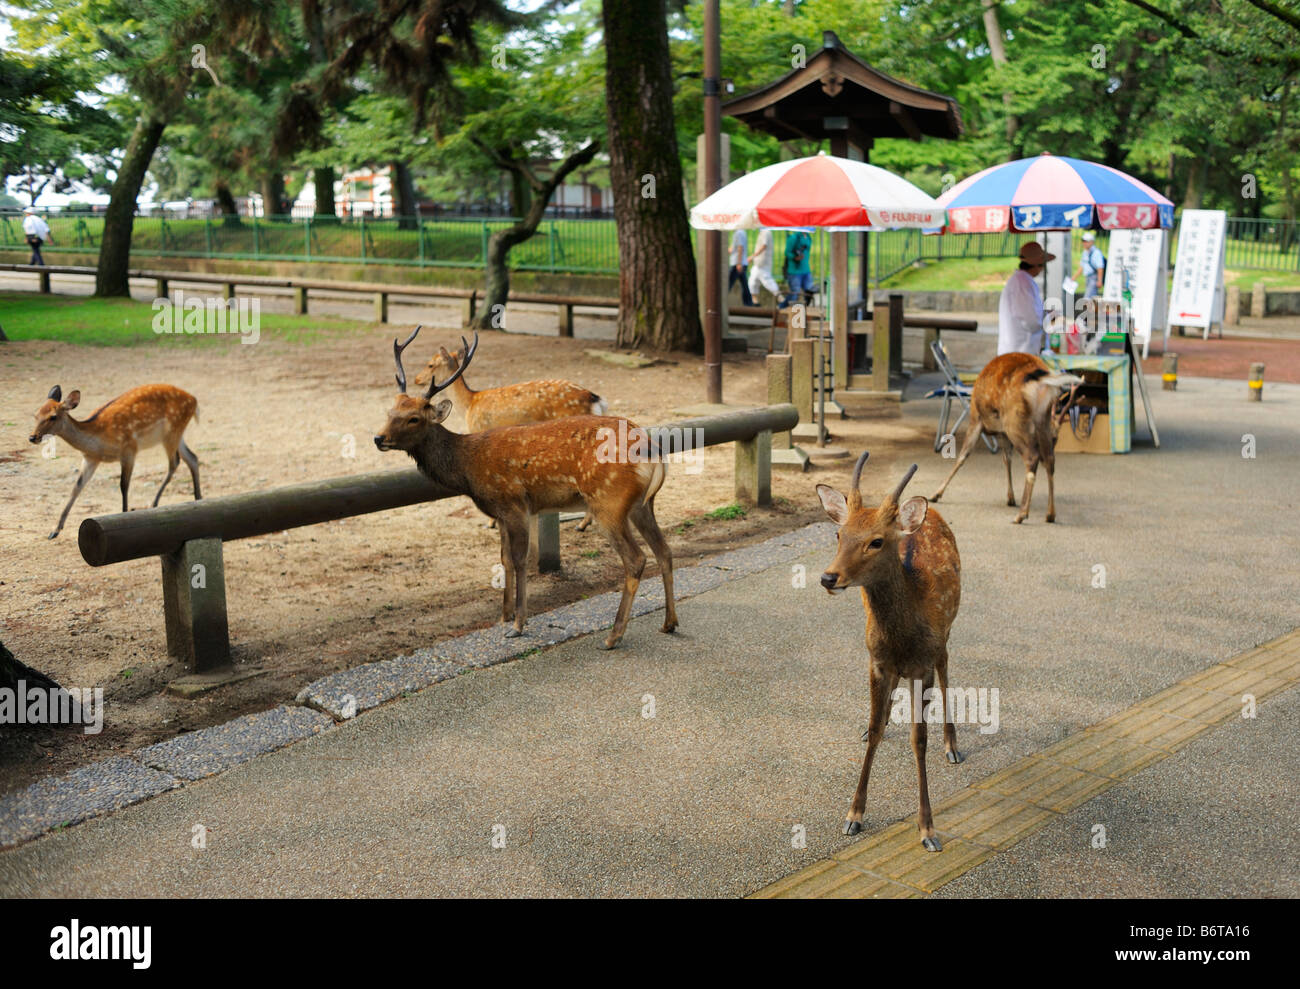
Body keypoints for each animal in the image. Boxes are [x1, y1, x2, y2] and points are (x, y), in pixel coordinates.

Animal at [29, 383, 202, 540]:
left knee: (175, 462)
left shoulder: (129, 449)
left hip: (172, 431)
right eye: (35, 414)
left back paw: (155, 503)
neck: (98, 441)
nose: (32, 437)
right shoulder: (90, 458)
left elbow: (123, 485)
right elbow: (76, 487)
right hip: (176, 434)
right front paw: (54, 530)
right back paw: (197, 499)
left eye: (53, 416)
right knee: (192, 458)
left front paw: (124, 516)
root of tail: (194, 401)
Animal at [414, 342, 606, 532]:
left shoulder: (480, 431)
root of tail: (595, 399)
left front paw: (491, 522)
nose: (416, 379)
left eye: (430, 364)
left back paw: (582, 524)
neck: (469, 405)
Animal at [817, 452, 962, 851]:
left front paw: (927, 829)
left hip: (947, 631)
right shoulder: (877, 661)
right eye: (838, 534)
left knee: (947, 668)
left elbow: (919, 739)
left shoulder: (923, 663)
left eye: (876, 541)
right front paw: (853, 815)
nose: (828, 577)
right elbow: (876, 724)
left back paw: (953, 744)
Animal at [930, 352, 1083, 524]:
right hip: (1041, 420)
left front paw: (935, 494)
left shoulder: (976, 418)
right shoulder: (1002, 432)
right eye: (1055, 438)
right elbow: (1006, 459)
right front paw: (1010, 498)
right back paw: (1050, 514)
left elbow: (962, 456)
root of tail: (1041, 378)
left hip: (1014, 421)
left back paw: (1021, 514)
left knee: (1032, 458)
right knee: (1049, 460)